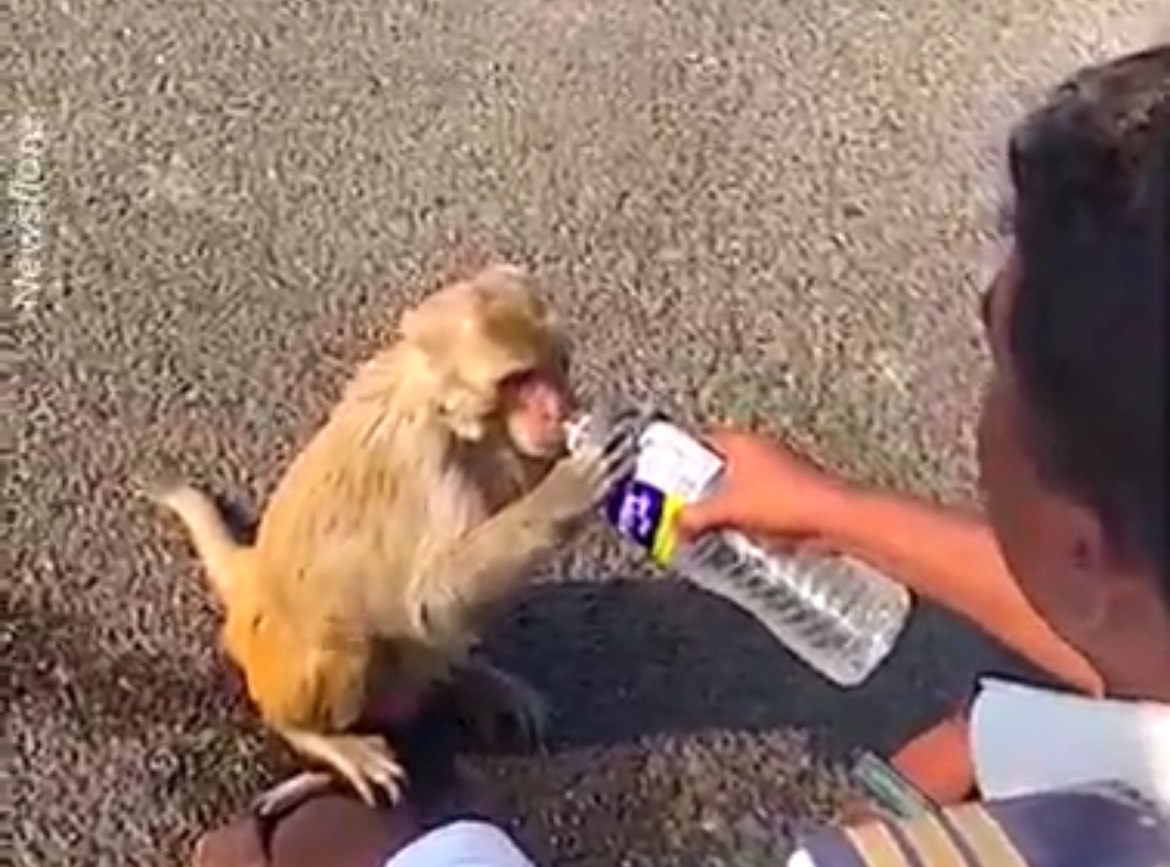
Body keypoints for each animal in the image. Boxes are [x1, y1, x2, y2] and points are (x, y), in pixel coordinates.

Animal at [153, 264, 639, 817]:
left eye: (554, 367)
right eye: (517, 381)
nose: (558, 407)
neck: (453, 417)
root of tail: (249, 576)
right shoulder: (428, 463)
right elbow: (427, 600)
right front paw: (570, 488)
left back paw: (463, 680)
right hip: (277, 651)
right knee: (346, 631)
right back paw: (314, 734)